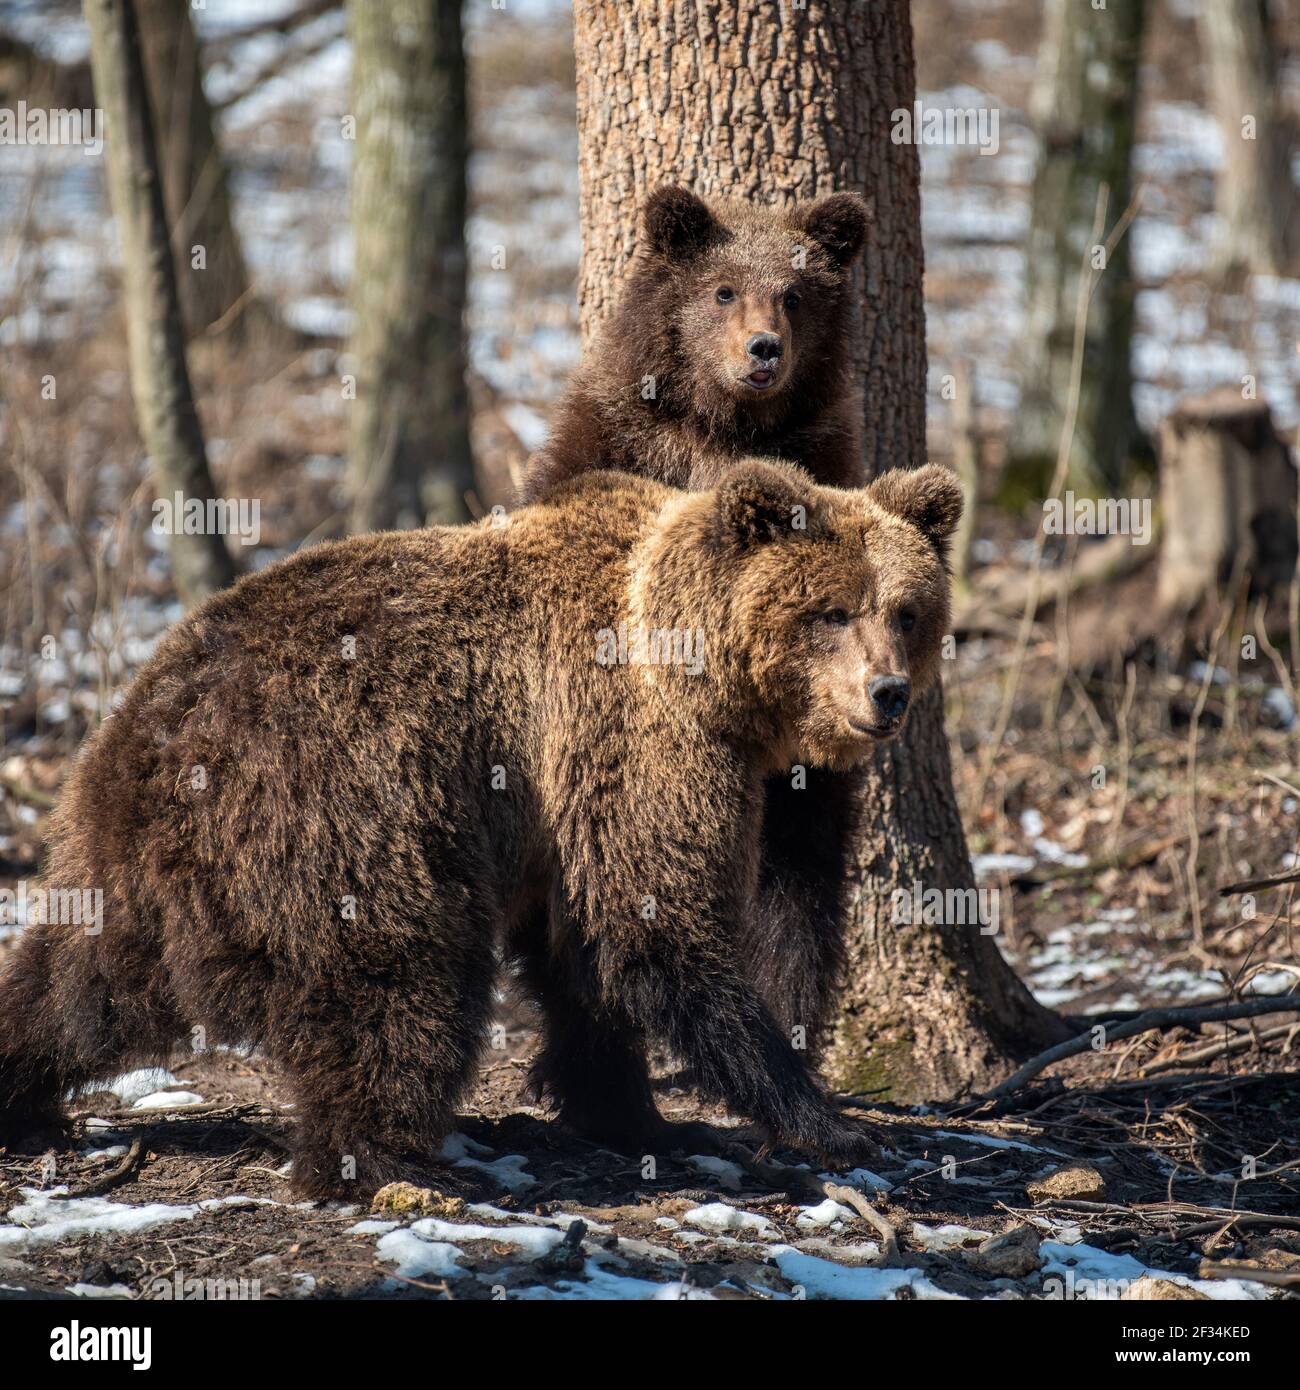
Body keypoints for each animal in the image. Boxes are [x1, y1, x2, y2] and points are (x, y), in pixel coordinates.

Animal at [0, 460, 961, 1200]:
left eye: (906, 611)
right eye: (831, 610)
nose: (887, 692)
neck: (703, 673)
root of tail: (157, 742)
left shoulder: (559, 812)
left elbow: (585, 965)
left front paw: (638, 1116)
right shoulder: (633, 740)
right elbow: (655, 932)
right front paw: (825, 1120)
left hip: (118, 861)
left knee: (74, 986)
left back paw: (23, 1093)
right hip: (347, 816)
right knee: (402, 983)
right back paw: (389, 1160)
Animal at [521, 184, 878, 1053]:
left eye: (795, 294)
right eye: (722, 290)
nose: (763, 349)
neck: (718, 429)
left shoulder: (822, 462)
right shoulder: (615, 442)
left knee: (800, 867)